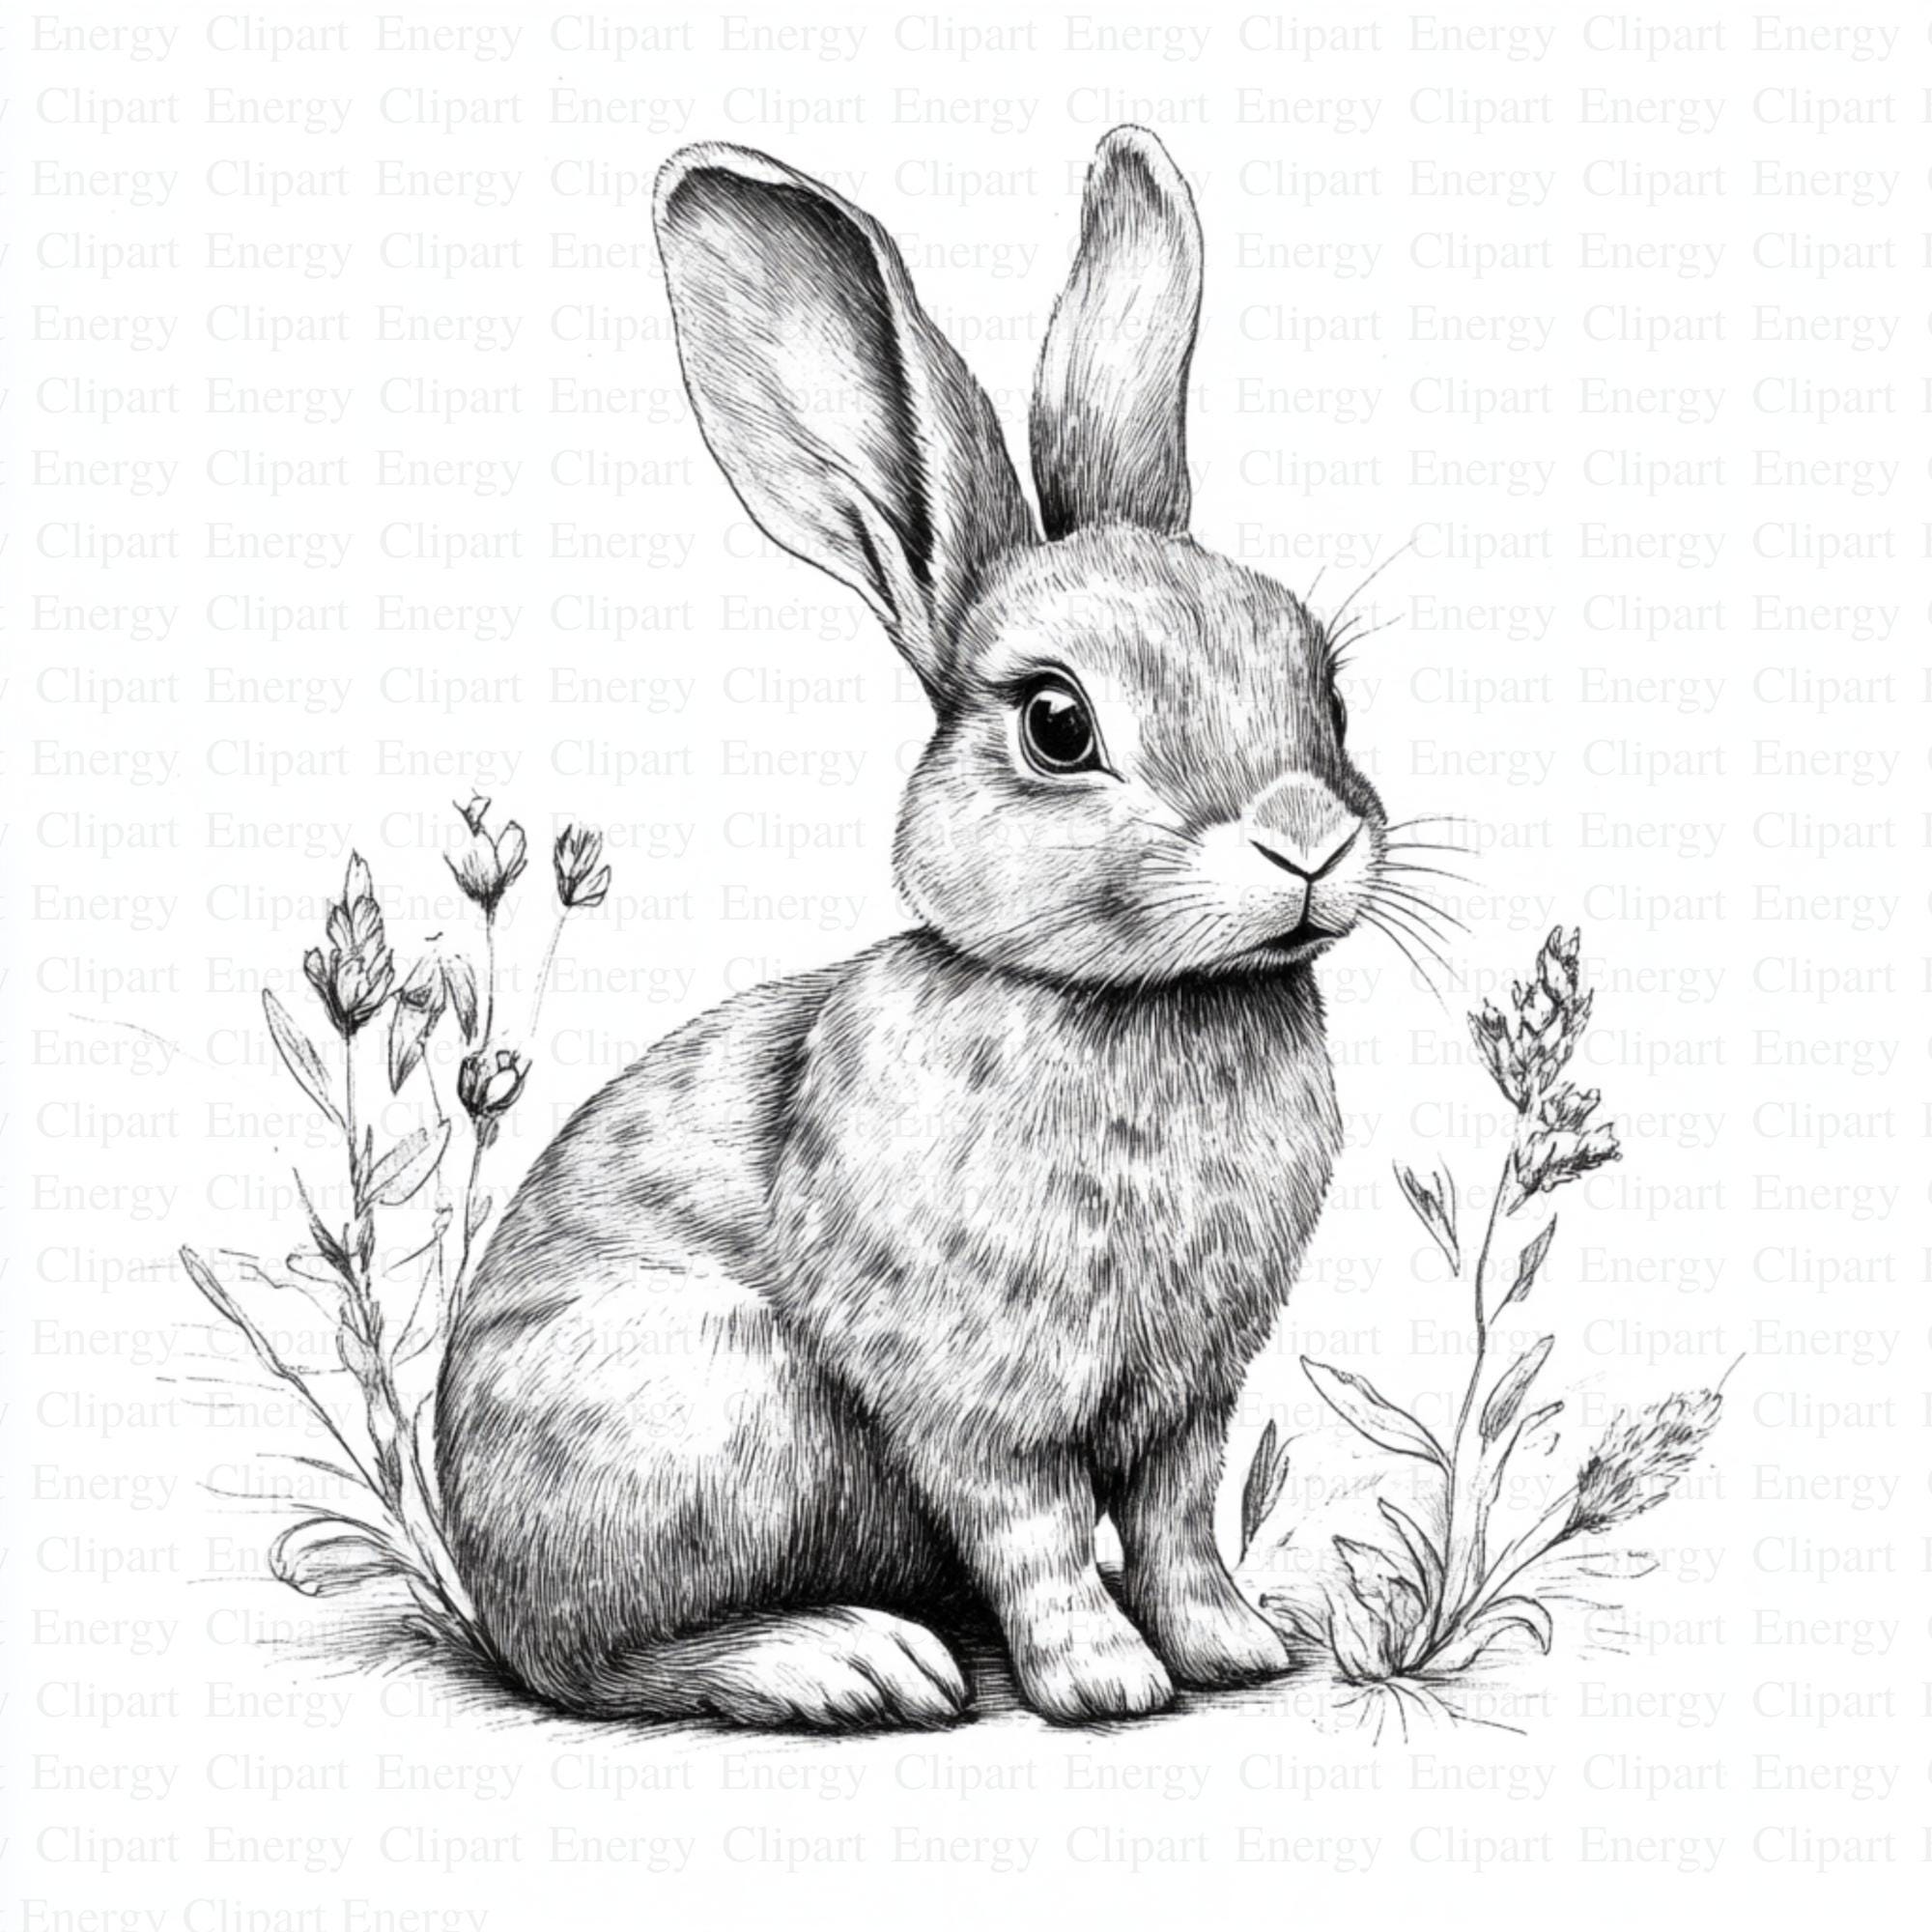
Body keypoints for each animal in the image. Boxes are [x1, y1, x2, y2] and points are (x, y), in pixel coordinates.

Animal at [435, 125, 1397, 1730]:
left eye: (1323, 683)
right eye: (1058, 723)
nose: (1309, 842)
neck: (1129, 1003)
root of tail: (467, 1548)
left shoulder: (1191, 1399)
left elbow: (1179, 1522)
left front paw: (1233, 1649)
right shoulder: (974, 1400)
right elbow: (1037, 1532)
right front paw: (1102, 1682)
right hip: (721, 1415)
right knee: (602, 1664)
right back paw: (845, 1660)